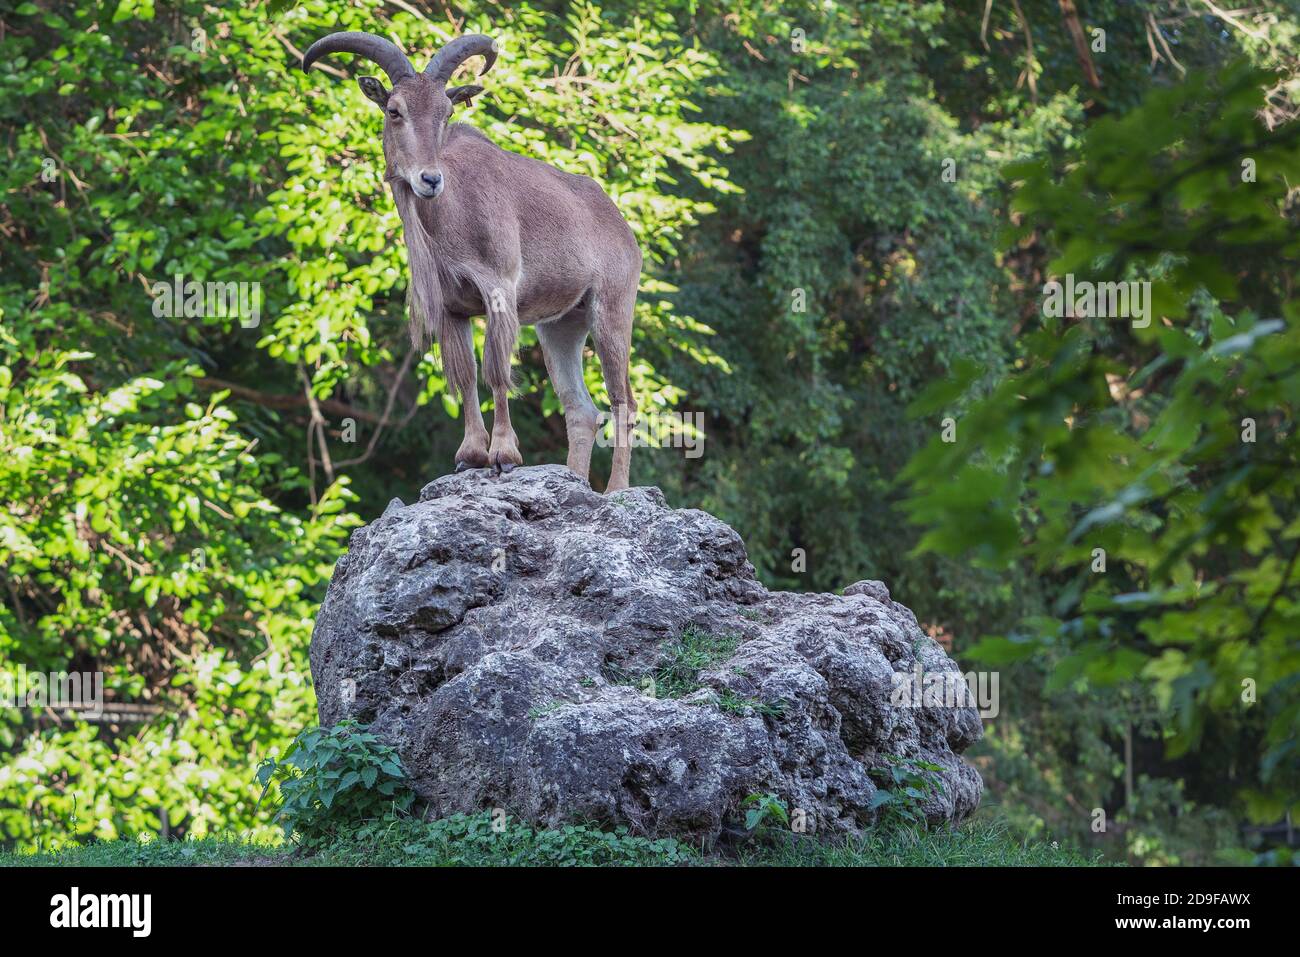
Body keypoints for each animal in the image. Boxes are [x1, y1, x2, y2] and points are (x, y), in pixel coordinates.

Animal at [303, 31, 641, 491]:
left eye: (445, 111)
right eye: (394, 110)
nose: (430, 179)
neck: (451, 217)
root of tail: (621, 224)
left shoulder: (498, 291)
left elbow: (496, 372)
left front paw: (504, 455)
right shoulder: (453, 309)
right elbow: (464, 375)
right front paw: (470, 454)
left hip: (612, 310)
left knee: (623, 401)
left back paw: (616, 489)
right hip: (561, 326)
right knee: (580, 410)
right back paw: (573, 480)